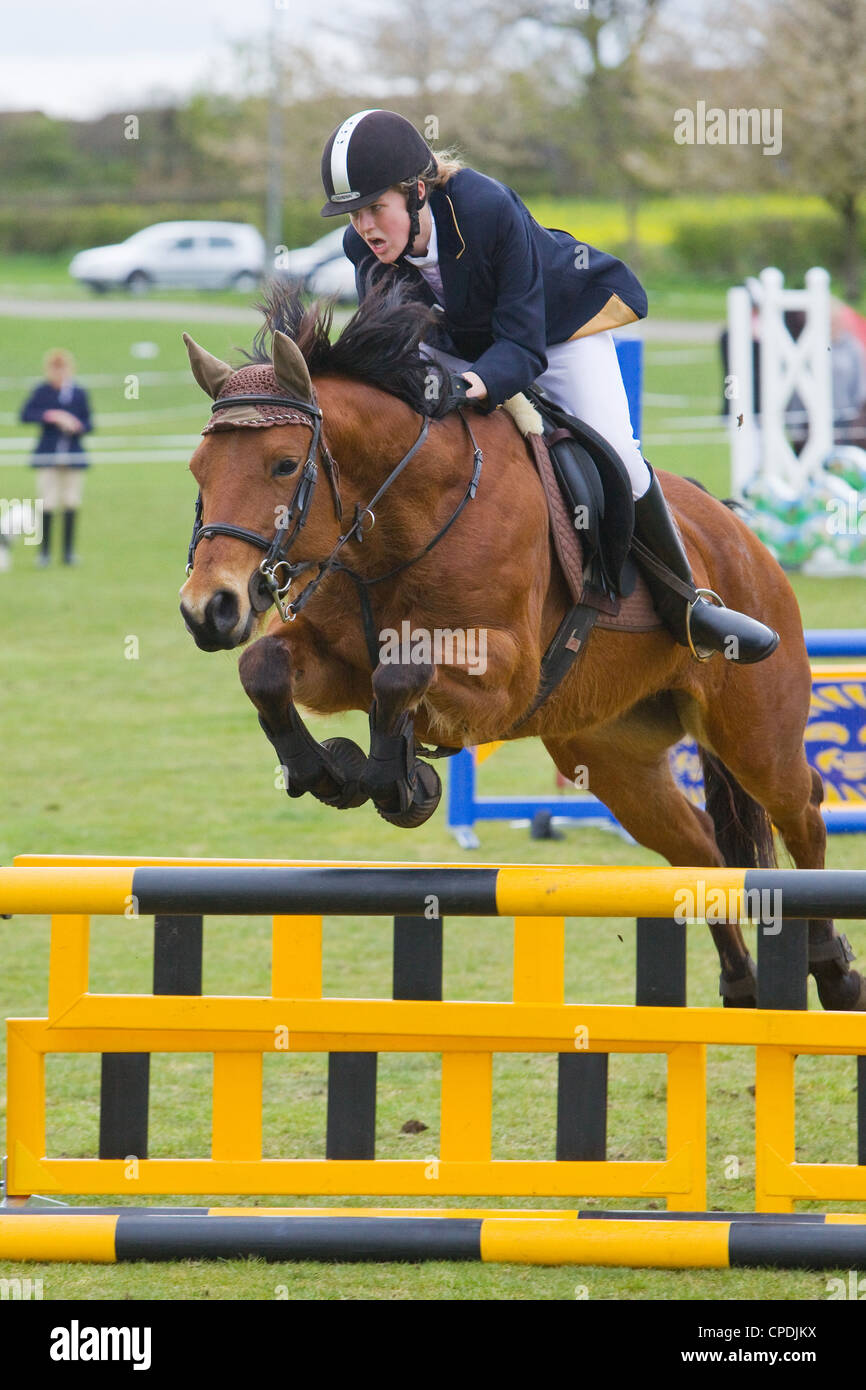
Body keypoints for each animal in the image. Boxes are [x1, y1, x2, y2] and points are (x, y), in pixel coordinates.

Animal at [179, 280, 865, 1013]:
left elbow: (400, 673)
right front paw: (328, 771)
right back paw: (741, 986)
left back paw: (834, 972)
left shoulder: (503, 679)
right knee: (700, 850)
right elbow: (265, 667)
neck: (400, 519)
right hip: (612, 757)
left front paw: (397, 782)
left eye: (284, 465)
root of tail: (740, 533)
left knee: (804, 810)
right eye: (197, 469)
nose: (209, 609)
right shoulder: (337, 660)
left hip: (755, 731)